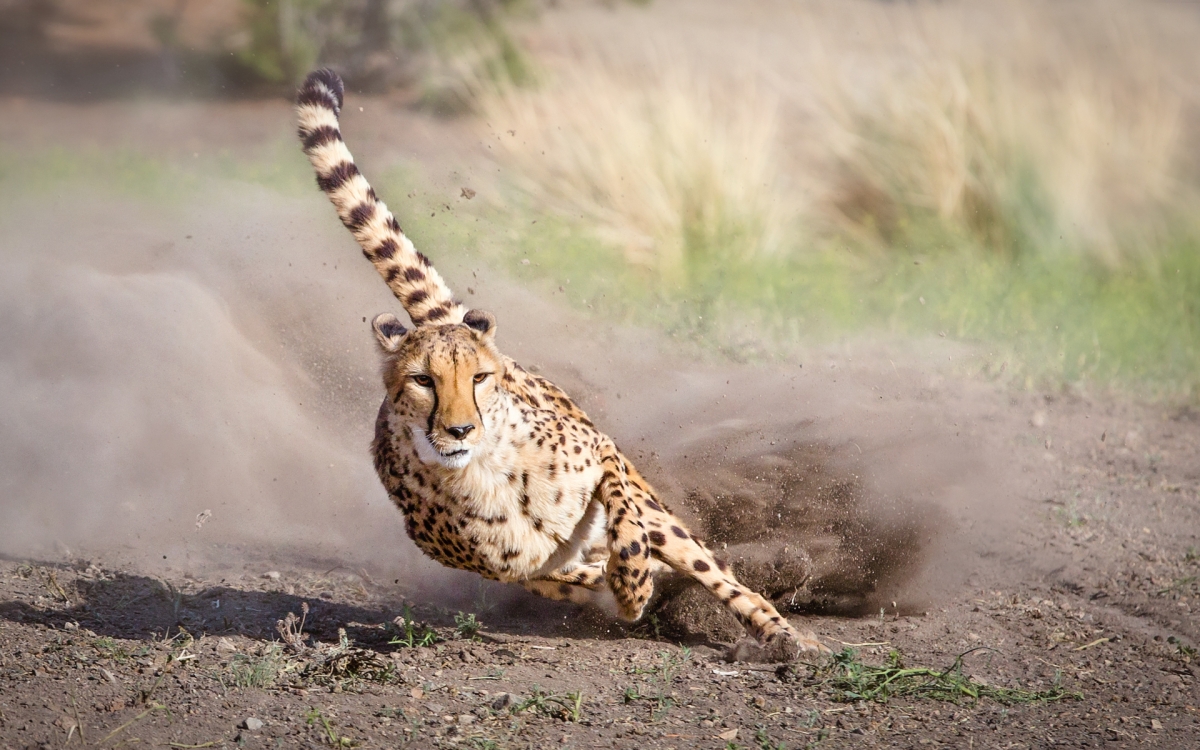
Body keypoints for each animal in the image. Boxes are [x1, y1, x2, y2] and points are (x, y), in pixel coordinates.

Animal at [295, 68, 826, 660]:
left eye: (479, 379)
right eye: (423, 381)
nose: (460, 429)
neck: (486, 473)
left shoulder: (602, 453)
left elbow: (625, 523)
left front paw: (635, 585)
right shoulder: (523, 569)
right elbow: (574, 572)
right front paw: (627, 590)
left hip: (661, 514)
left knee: (700, 562)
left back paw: (782, 636)